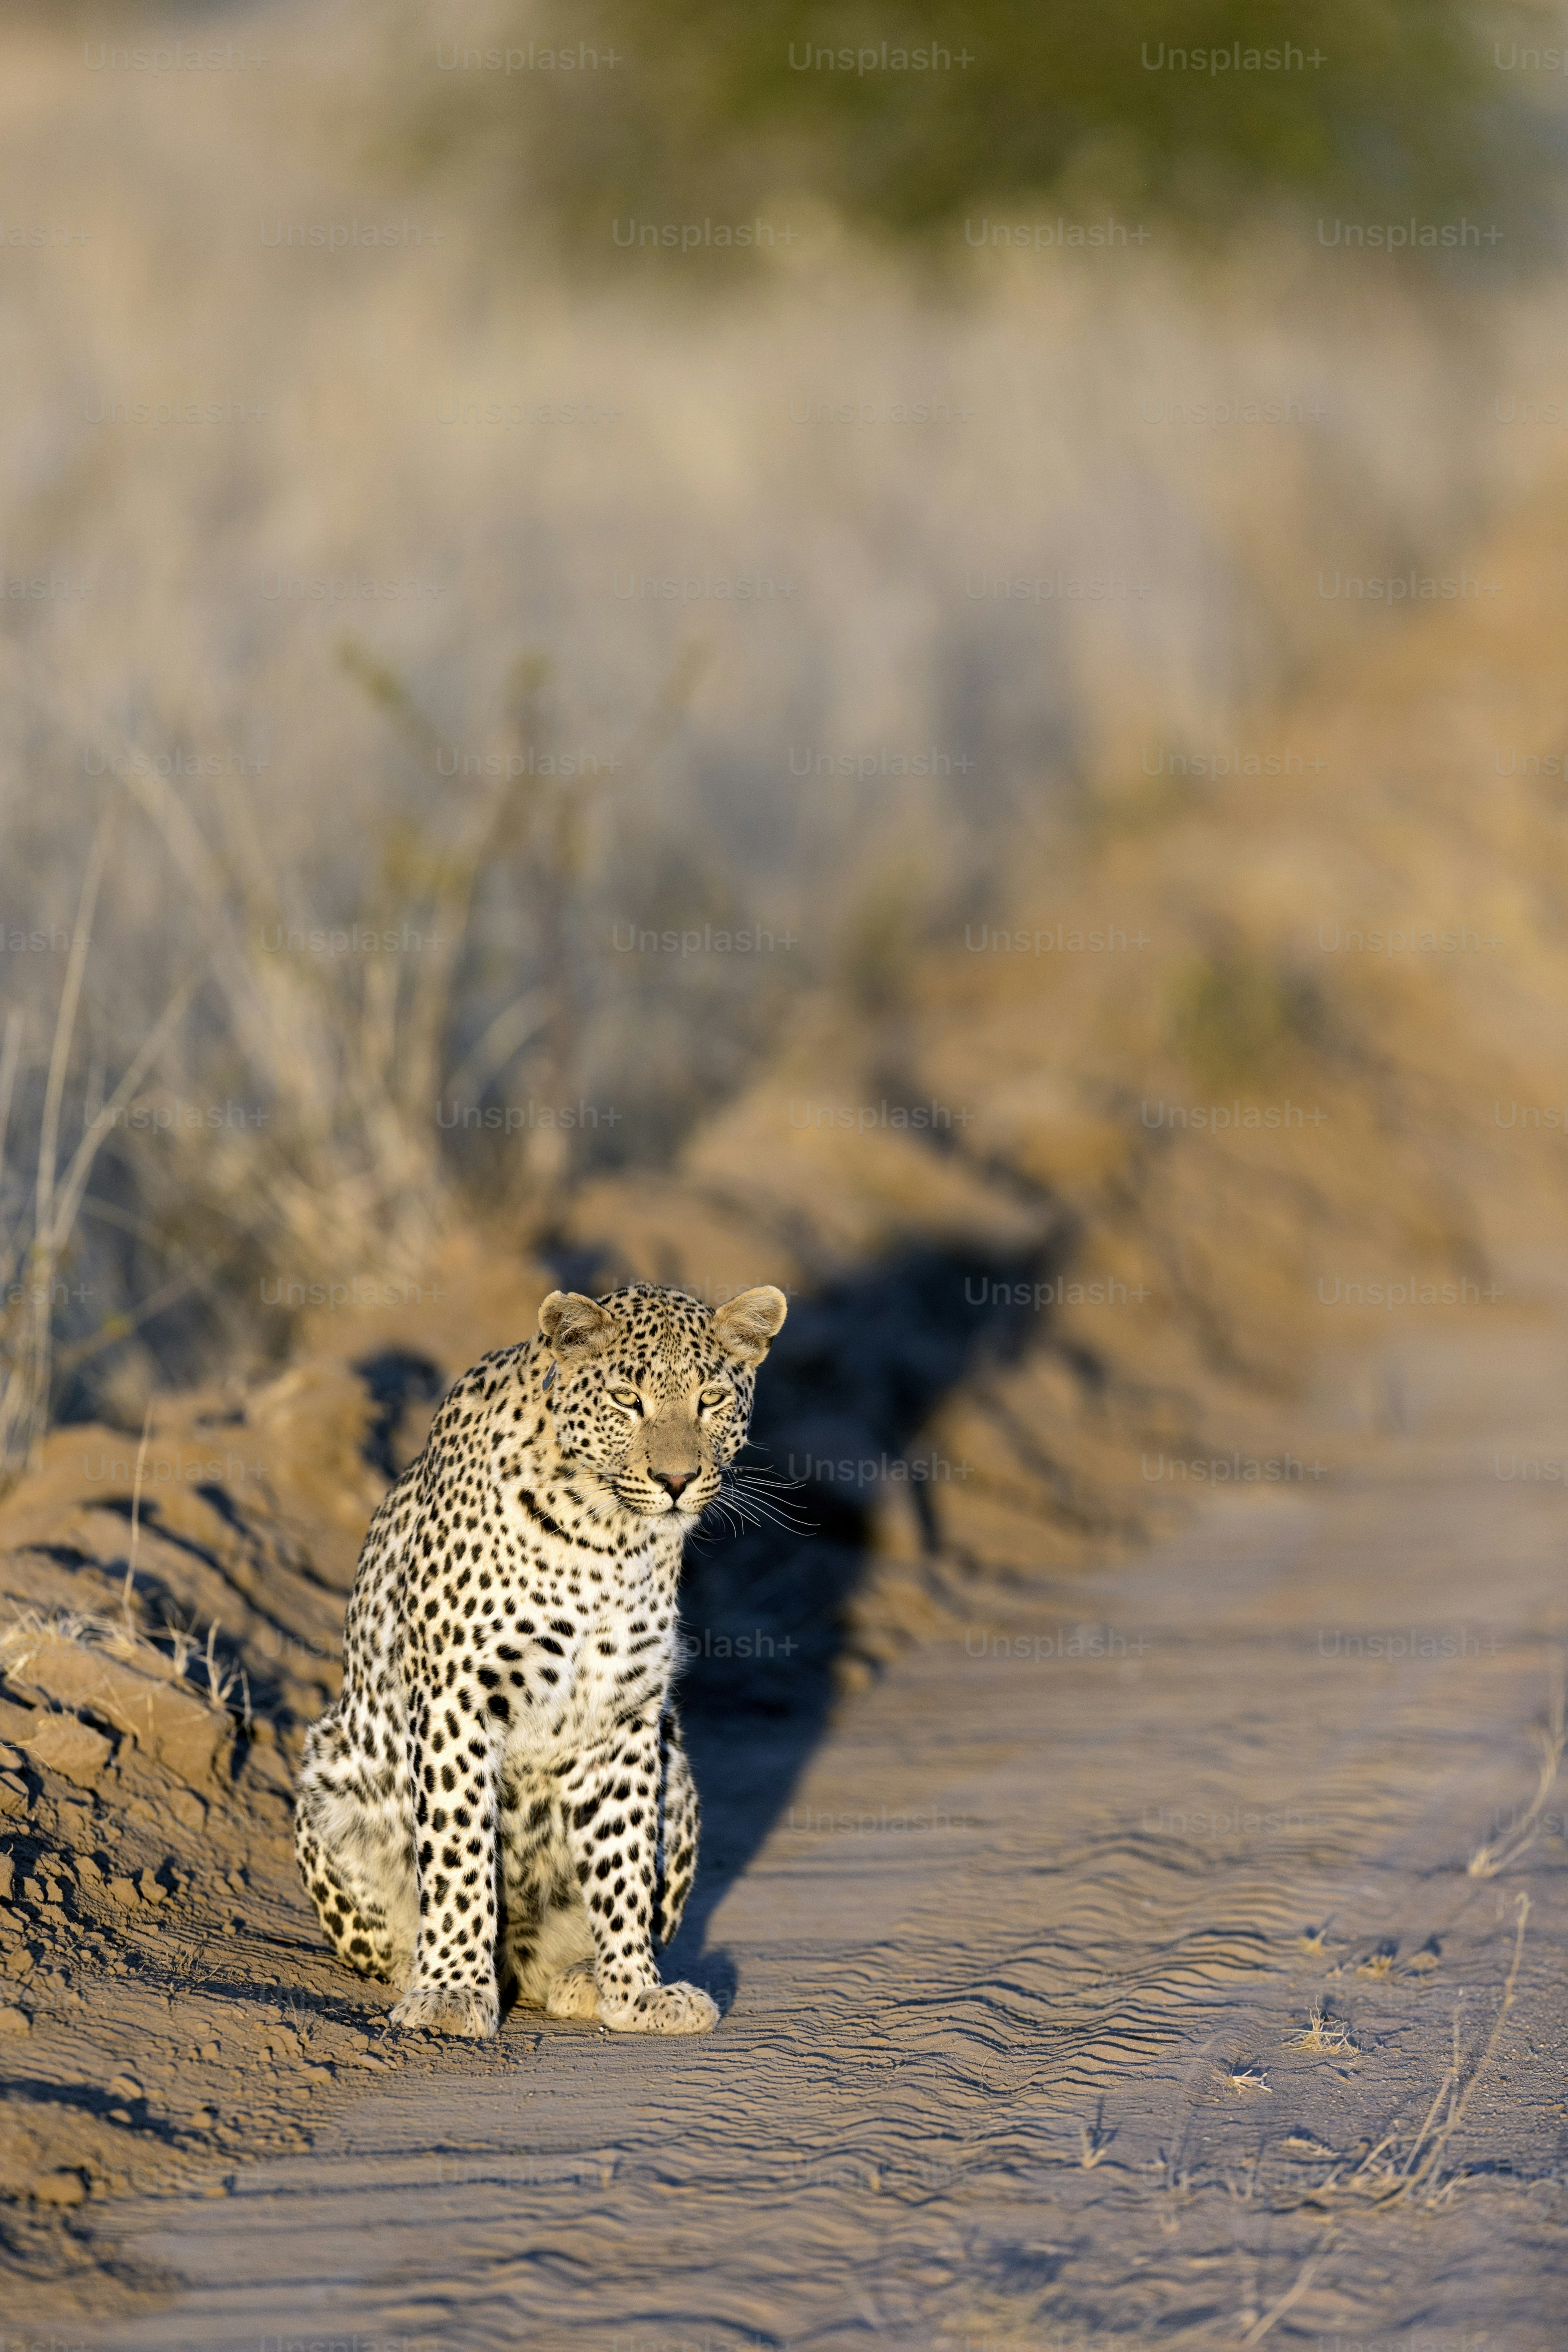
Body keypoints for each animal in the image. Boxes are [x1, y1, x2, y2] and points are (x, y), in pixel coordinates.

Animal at [293, 1279, 788, 2039]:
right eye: (626, 1398)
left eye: (711, 1399)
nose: (676, 1478)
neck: (608, 1538)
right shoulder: (457, 1696)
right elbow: (459, 1850)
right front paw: (451, 1993)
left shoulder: (621, 1716)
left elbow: (622, 1861)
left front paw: (633, 1991)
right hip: (331, 1767)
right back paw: (421, 1967)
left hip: (676, 1766)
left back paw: (580, 1977)